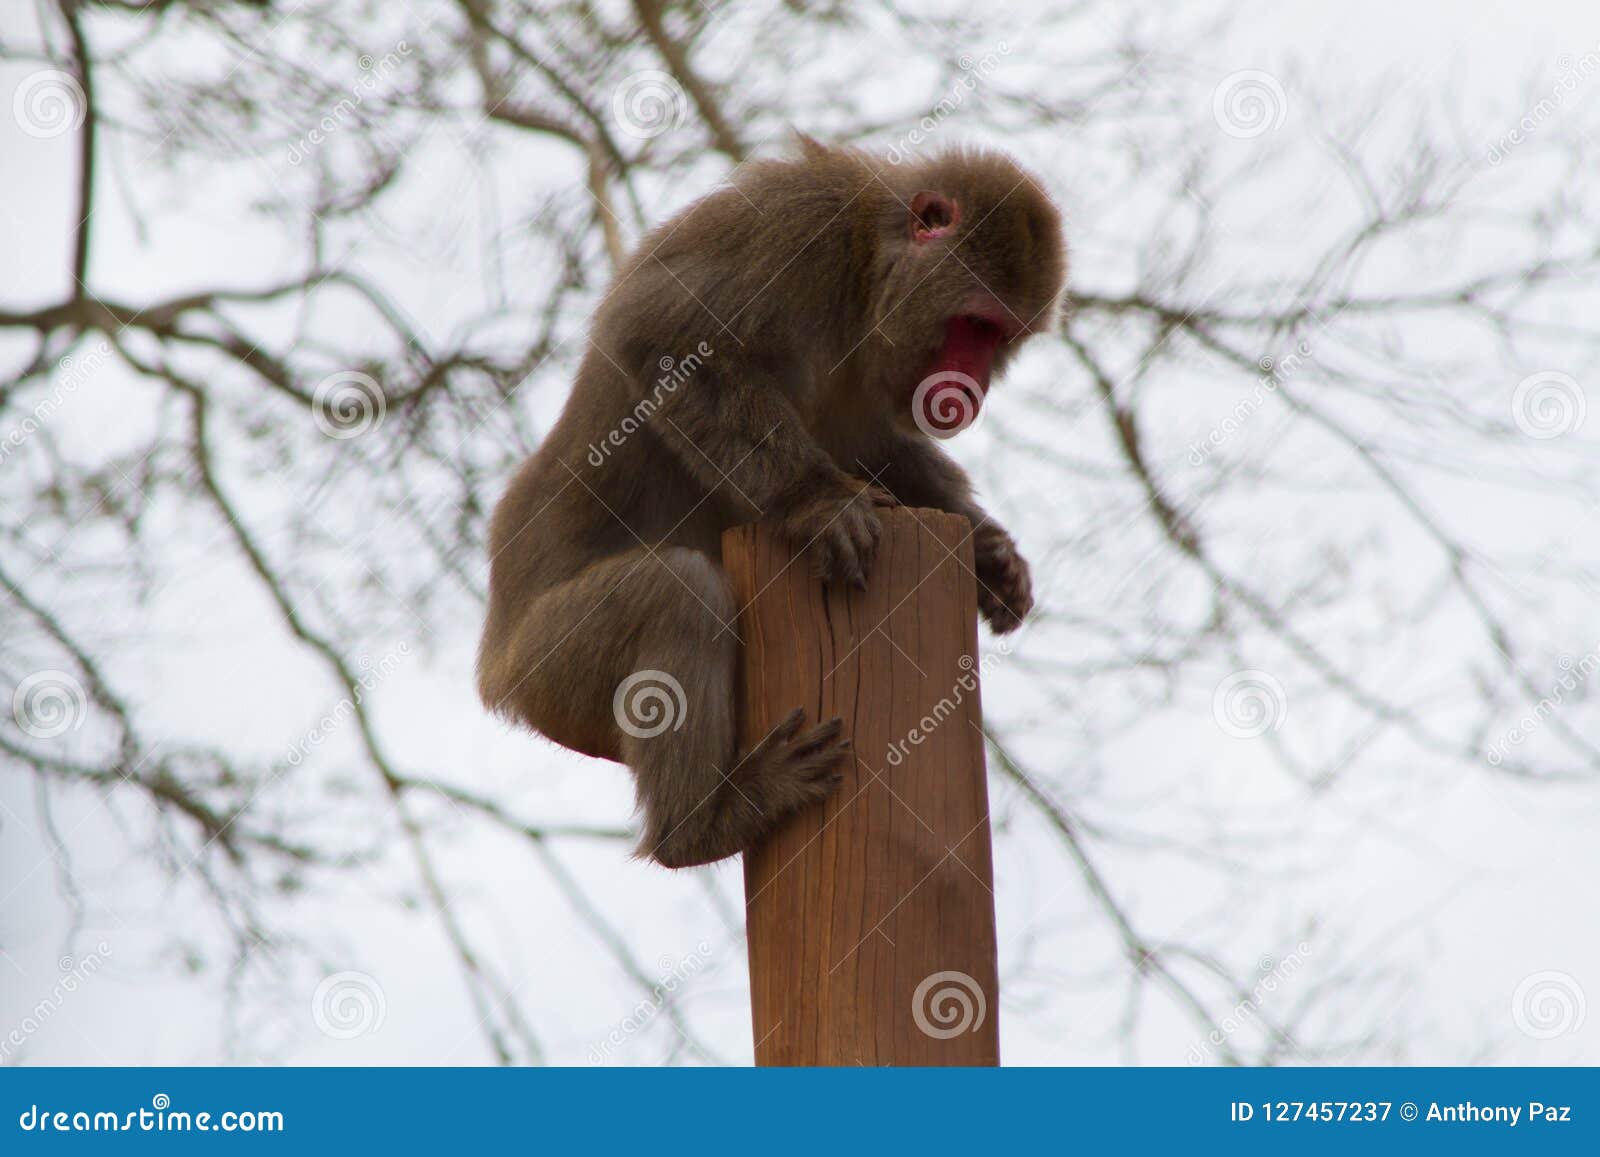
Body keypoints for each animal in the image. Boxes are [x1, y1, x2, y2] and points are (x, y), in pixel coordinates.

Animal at [477, 136, 1066, 869]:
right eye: (974, 325)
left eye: (1001, 337)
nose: (972, 383)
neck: (866, 273)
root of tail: (495, 665)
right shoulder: (797, 231)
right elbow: (666, 338)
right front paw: (817, 503)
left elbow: (876, 445)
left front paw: (990, 553)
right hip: (548, 672)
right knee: (677, 592)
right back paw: (704, 823)